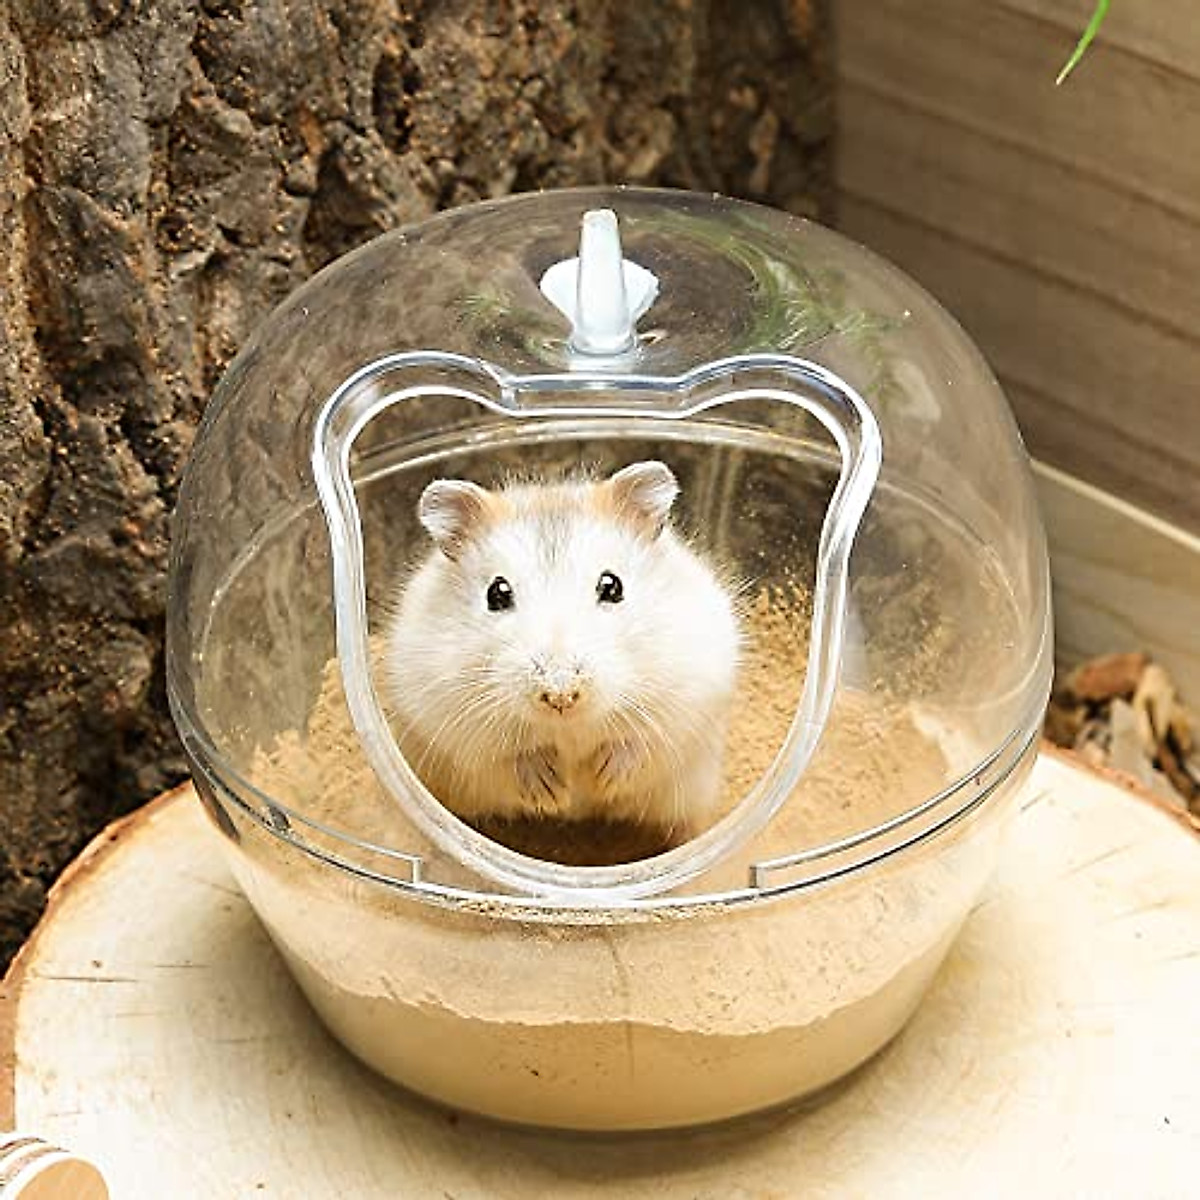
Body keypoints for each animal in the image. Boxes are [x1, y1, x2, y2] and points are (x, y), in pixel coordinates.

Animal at [383, 461, 741, 837]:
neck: (568, 727)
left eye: (612, 586)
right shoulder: (447, 716)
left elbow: (640, 742)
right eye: (497, 593)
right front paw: (554, 796)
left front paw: (601, 781)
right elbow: (507, 756)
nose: (561, 696)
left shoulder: (690, 696)